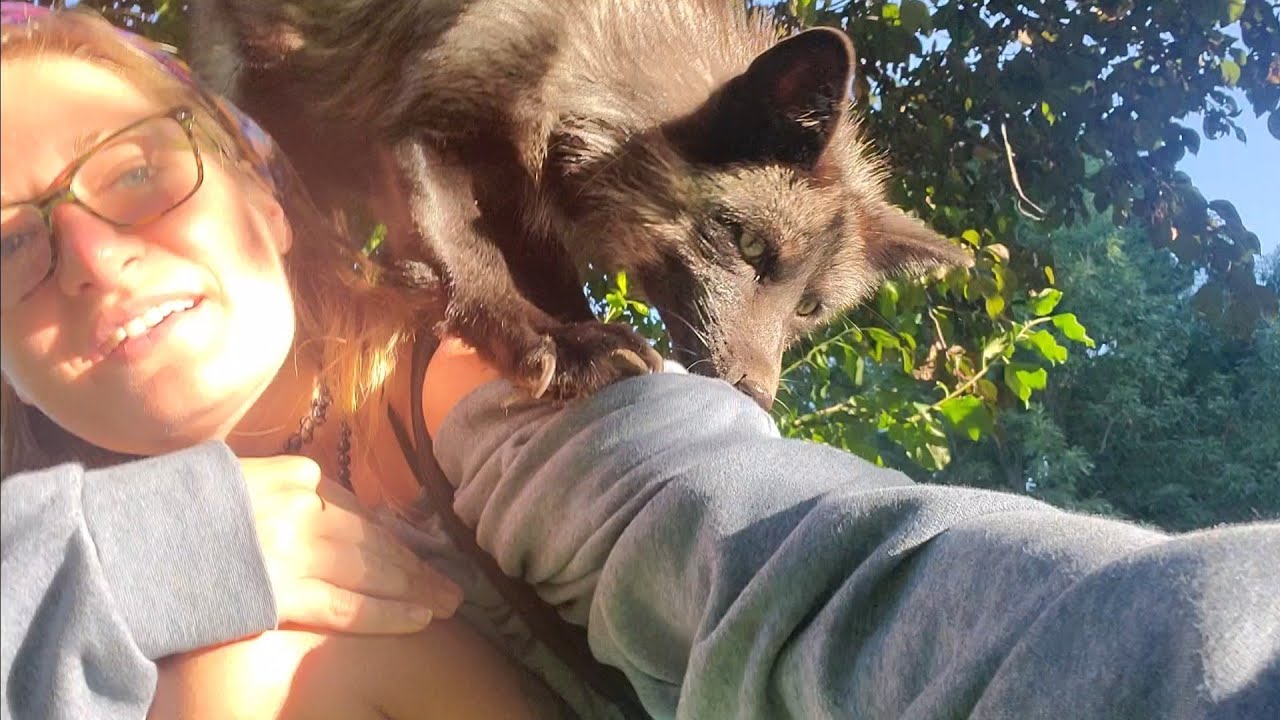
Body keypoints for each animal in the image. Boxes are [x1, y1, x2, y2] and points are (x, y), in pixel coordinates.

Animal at [187, 0, 971, 408]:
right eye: (749, 246)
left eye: (808, 309)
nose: (754, 394)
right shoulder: (421, 131)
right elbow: (466, 252)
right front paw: (555, 344)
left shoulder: (530, 213)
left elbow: (545, 277)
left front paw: (570, 328)